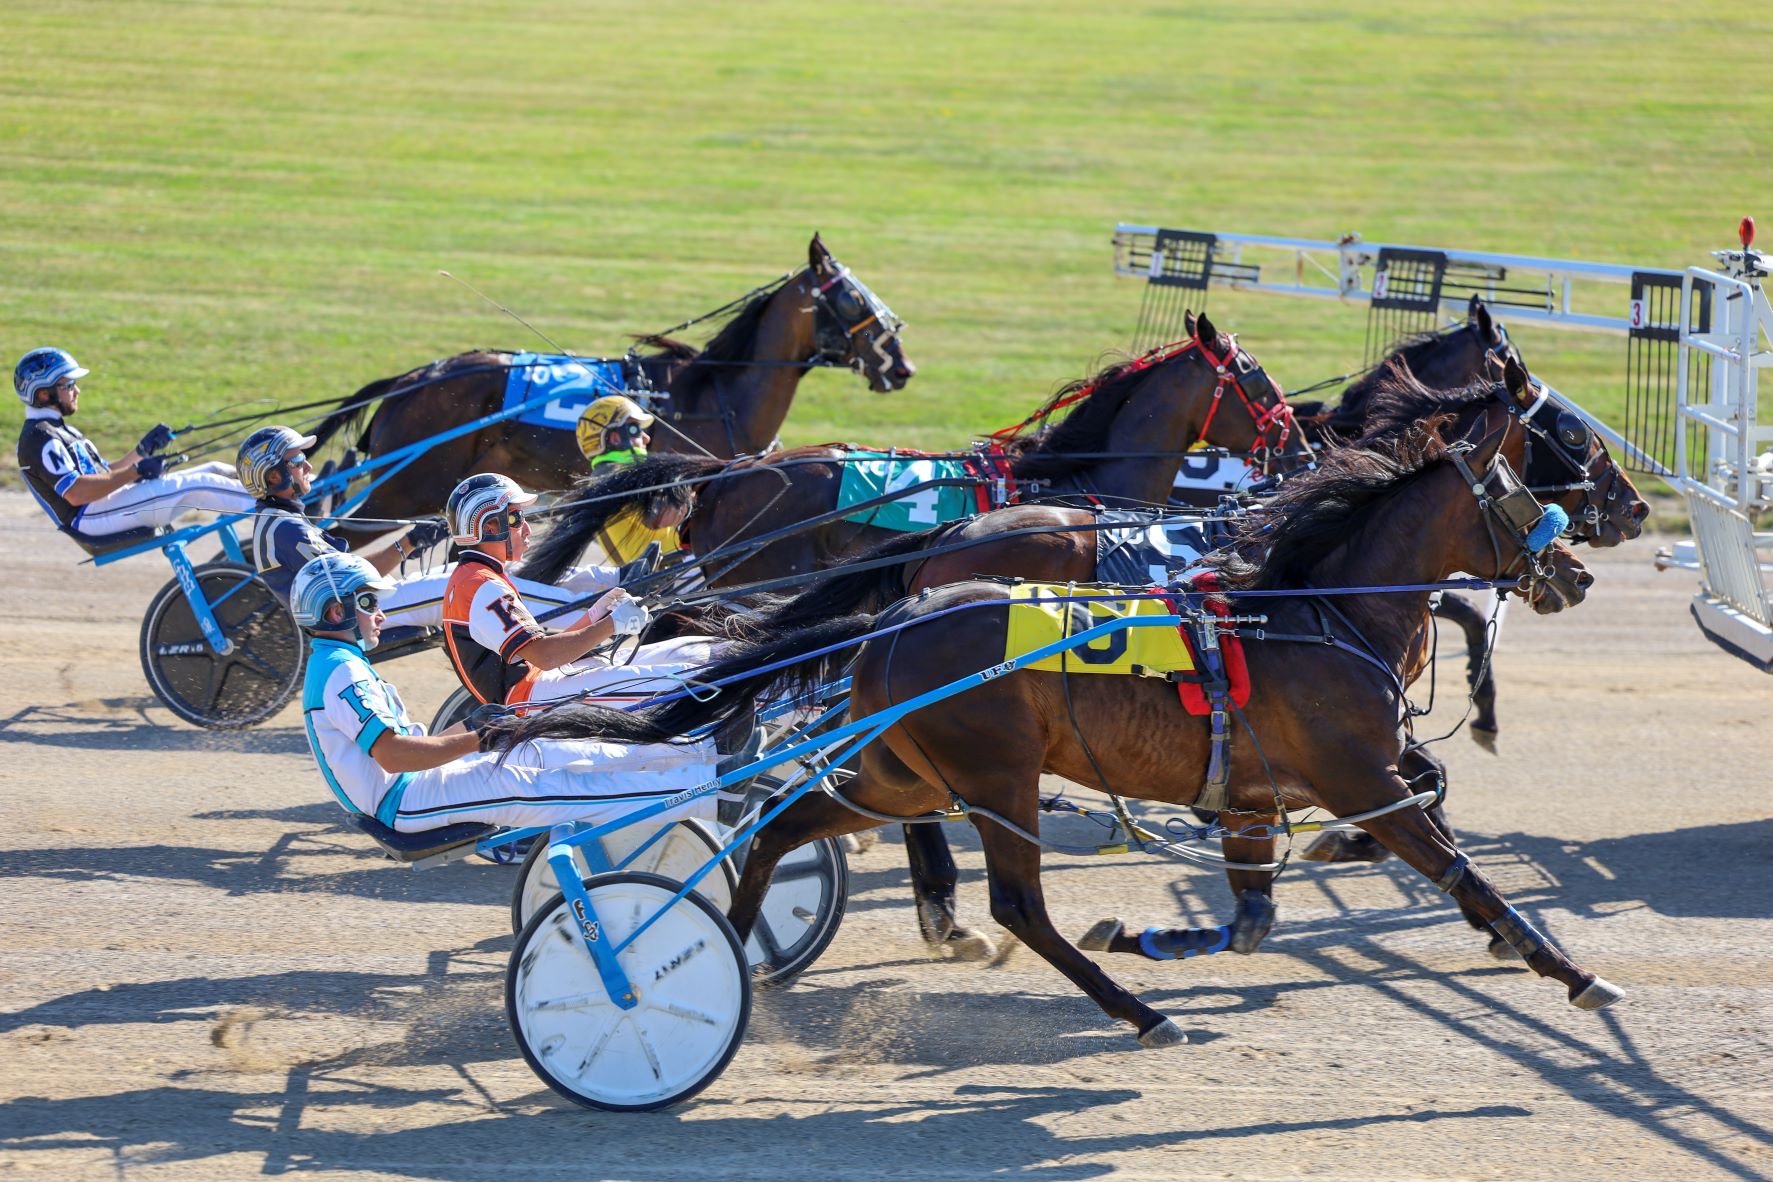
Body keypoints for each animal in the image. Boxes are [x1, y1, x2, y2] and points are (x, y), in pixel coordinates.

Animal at [489, 413, 1614, 1047]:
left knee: (788, 828)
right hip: (998, 777)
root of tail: (902, 608)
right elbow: (1460, 866)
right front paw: (1568, 971)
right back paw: (1134, 1012)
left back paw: (735, 945)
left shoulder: (1263, 791)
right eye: (1524, 486)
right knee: (1019, 905)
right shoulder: (1356, 776)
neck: (1313, 611)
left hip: (903, 769)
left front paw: (1170, 930)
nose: (1580, 568)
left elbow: (1261, 908)